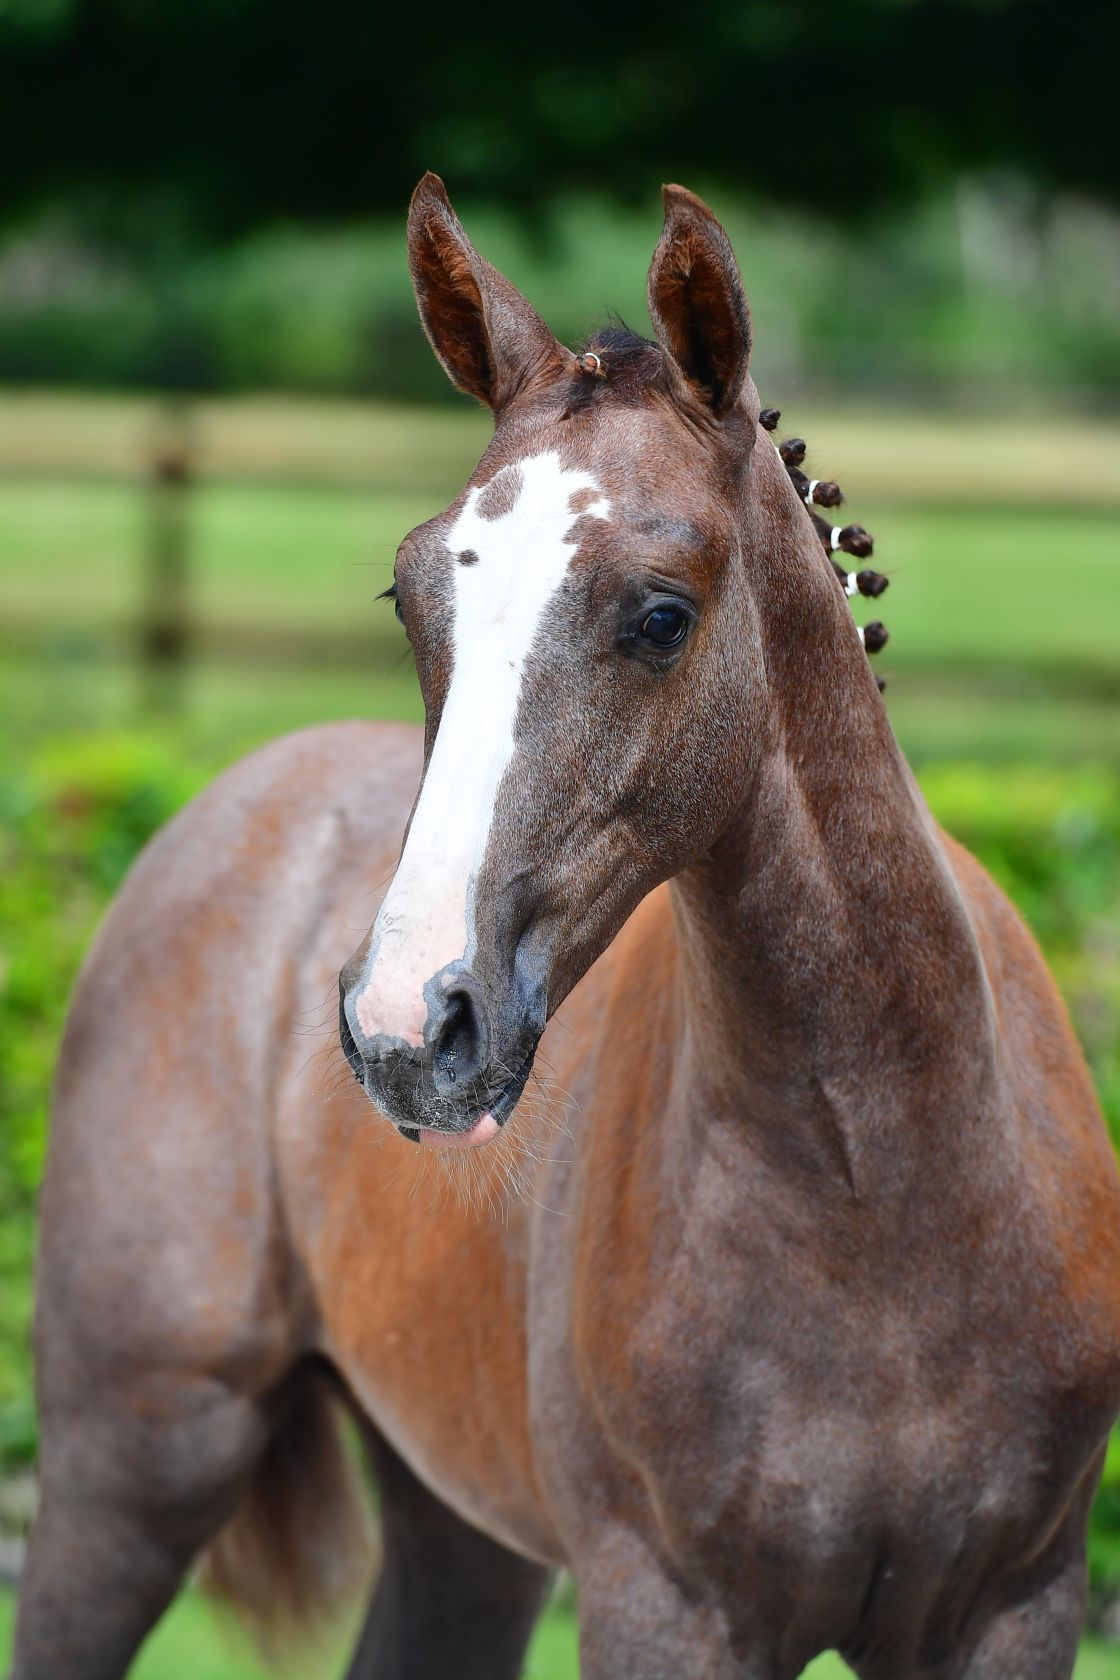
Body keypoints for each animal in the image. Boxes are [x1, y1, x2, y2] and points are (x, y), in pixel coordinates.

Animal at [12, 176, 1120, 1680]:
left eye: (660, 614)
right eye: (411, 591)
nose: (406, 1025)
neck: (887, 1189)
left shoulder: (1016, 1603)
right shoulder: (662, 1604)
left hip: (452, 1518)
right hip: (133, 1463)